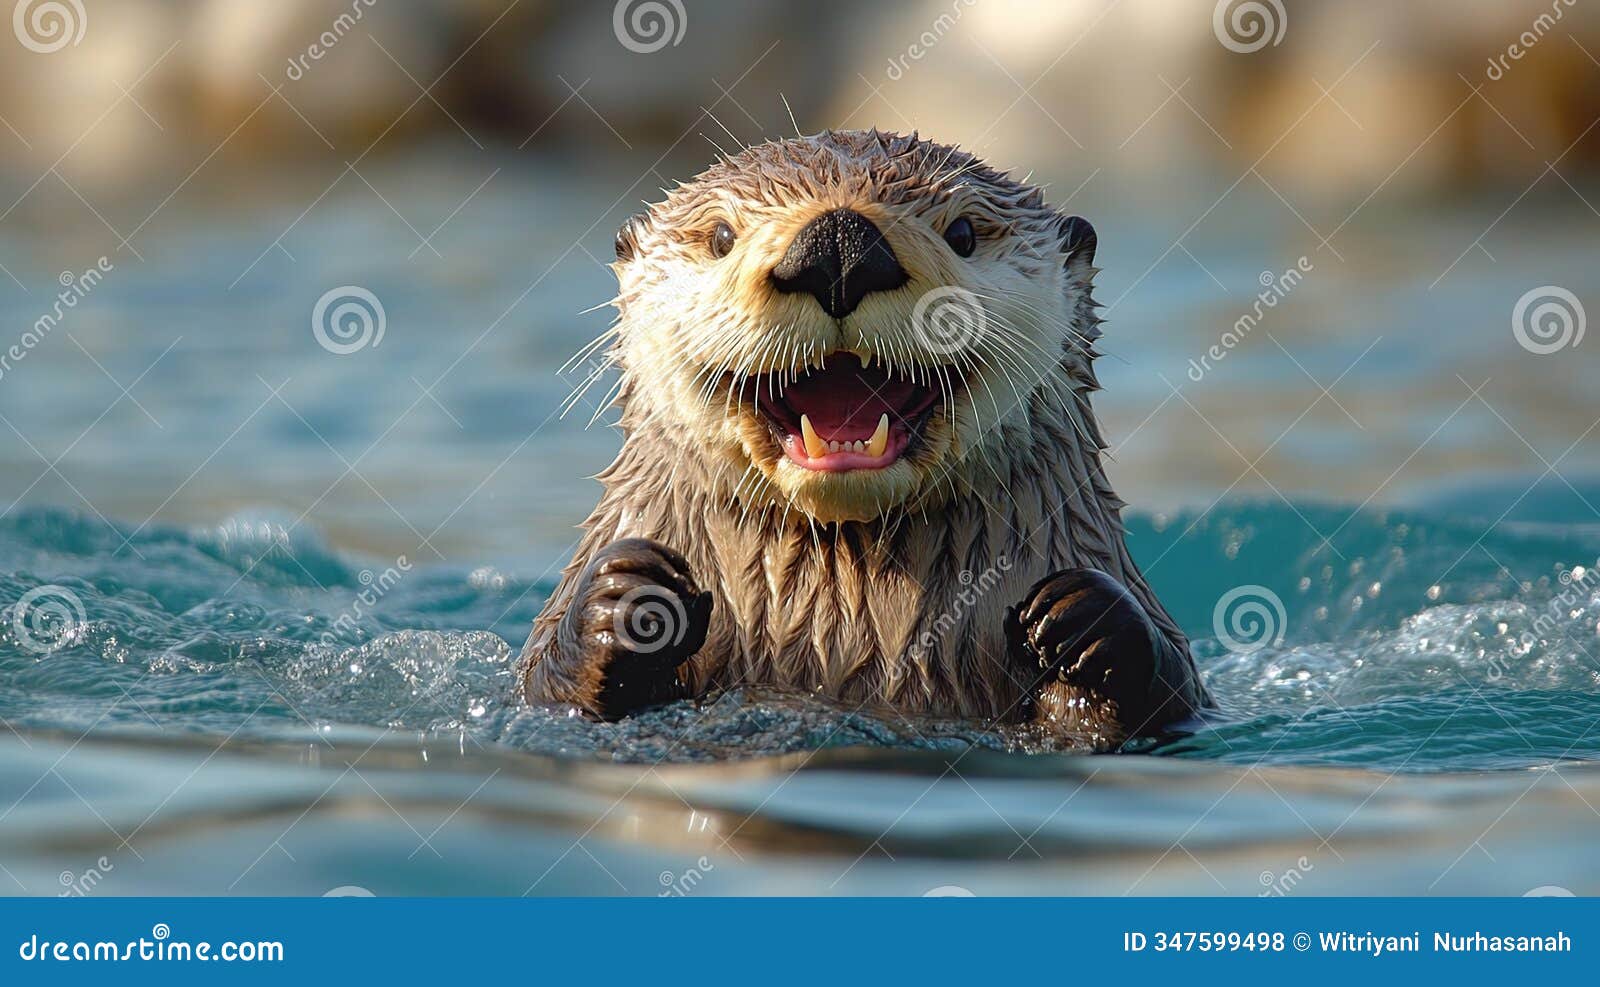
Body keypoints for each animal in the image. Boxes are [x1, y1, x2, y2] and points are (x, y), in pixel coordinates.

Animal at [518, 129, 1211, 746]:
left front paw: (1084, 620)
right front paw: (625, 598)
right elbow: (540, 685)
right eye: (720, 237)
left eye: (963, 233)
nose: (839, 244)